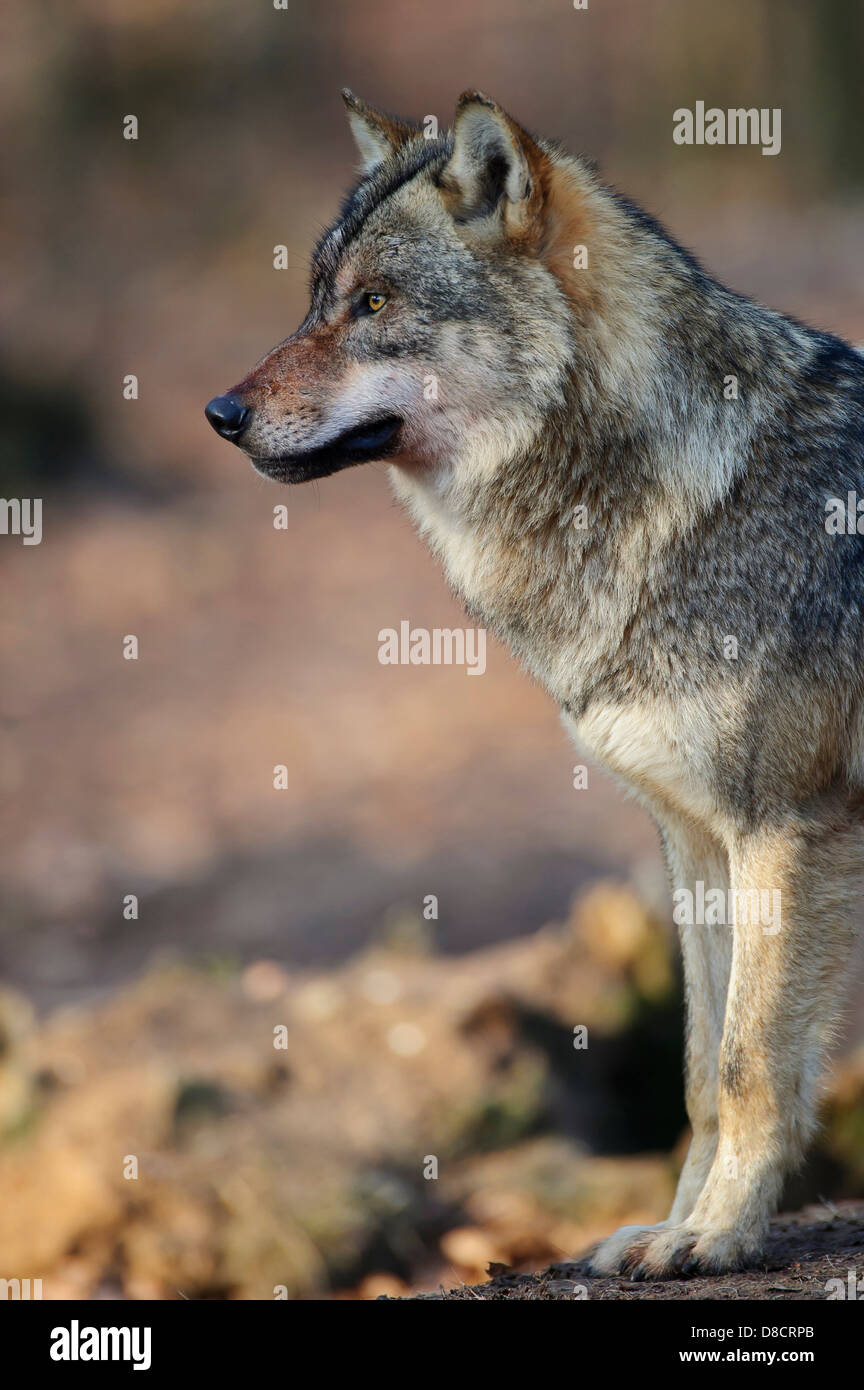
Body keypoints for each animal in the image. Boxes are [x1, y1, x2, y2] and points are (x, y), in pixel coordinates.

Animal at [205, 90, 864, 1278]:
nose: (219, 414)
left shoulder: (789, 829)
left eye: (376, 302)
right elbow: (702, 1071)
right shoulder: (696, 843)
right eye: (316, 298)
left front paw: (720, 1237)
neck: (680, 494)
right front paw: (678, 1226)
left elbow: (750, 1065)